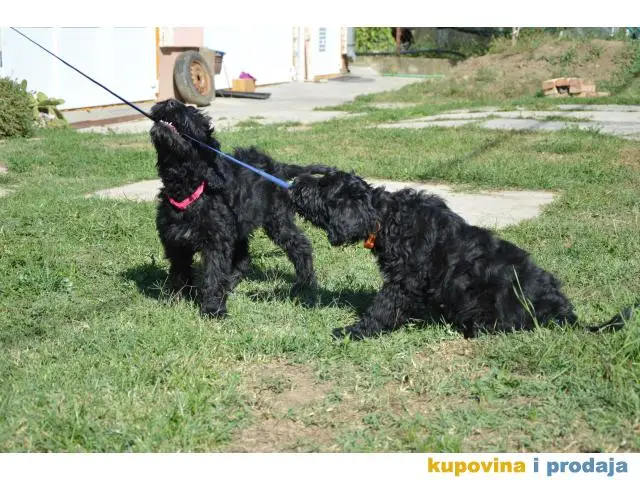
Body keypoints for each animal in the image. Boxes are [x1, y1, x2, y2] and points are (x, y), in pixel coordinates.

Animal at [148, 99, 332, 316]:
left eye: (194, 114)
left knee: (300, 245)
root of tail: (278, 167)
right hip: (240, 227)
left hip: (276, 219)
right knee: (244, 259)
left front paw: (212, 309)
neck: (189, 188)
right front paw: (174, 300)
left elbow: (214, 273)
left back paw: (306, 283)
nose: (170, 102)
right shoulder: (175, 241)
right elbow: (179, 271)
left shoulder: (216, 241)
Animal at [288, 171, 636, 340]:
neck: (387, 217)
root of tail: (562, 312)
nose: (295, 183)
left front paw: (354, 332)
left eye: (324, 187)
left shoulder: (403, 281)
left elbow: (383, 308)